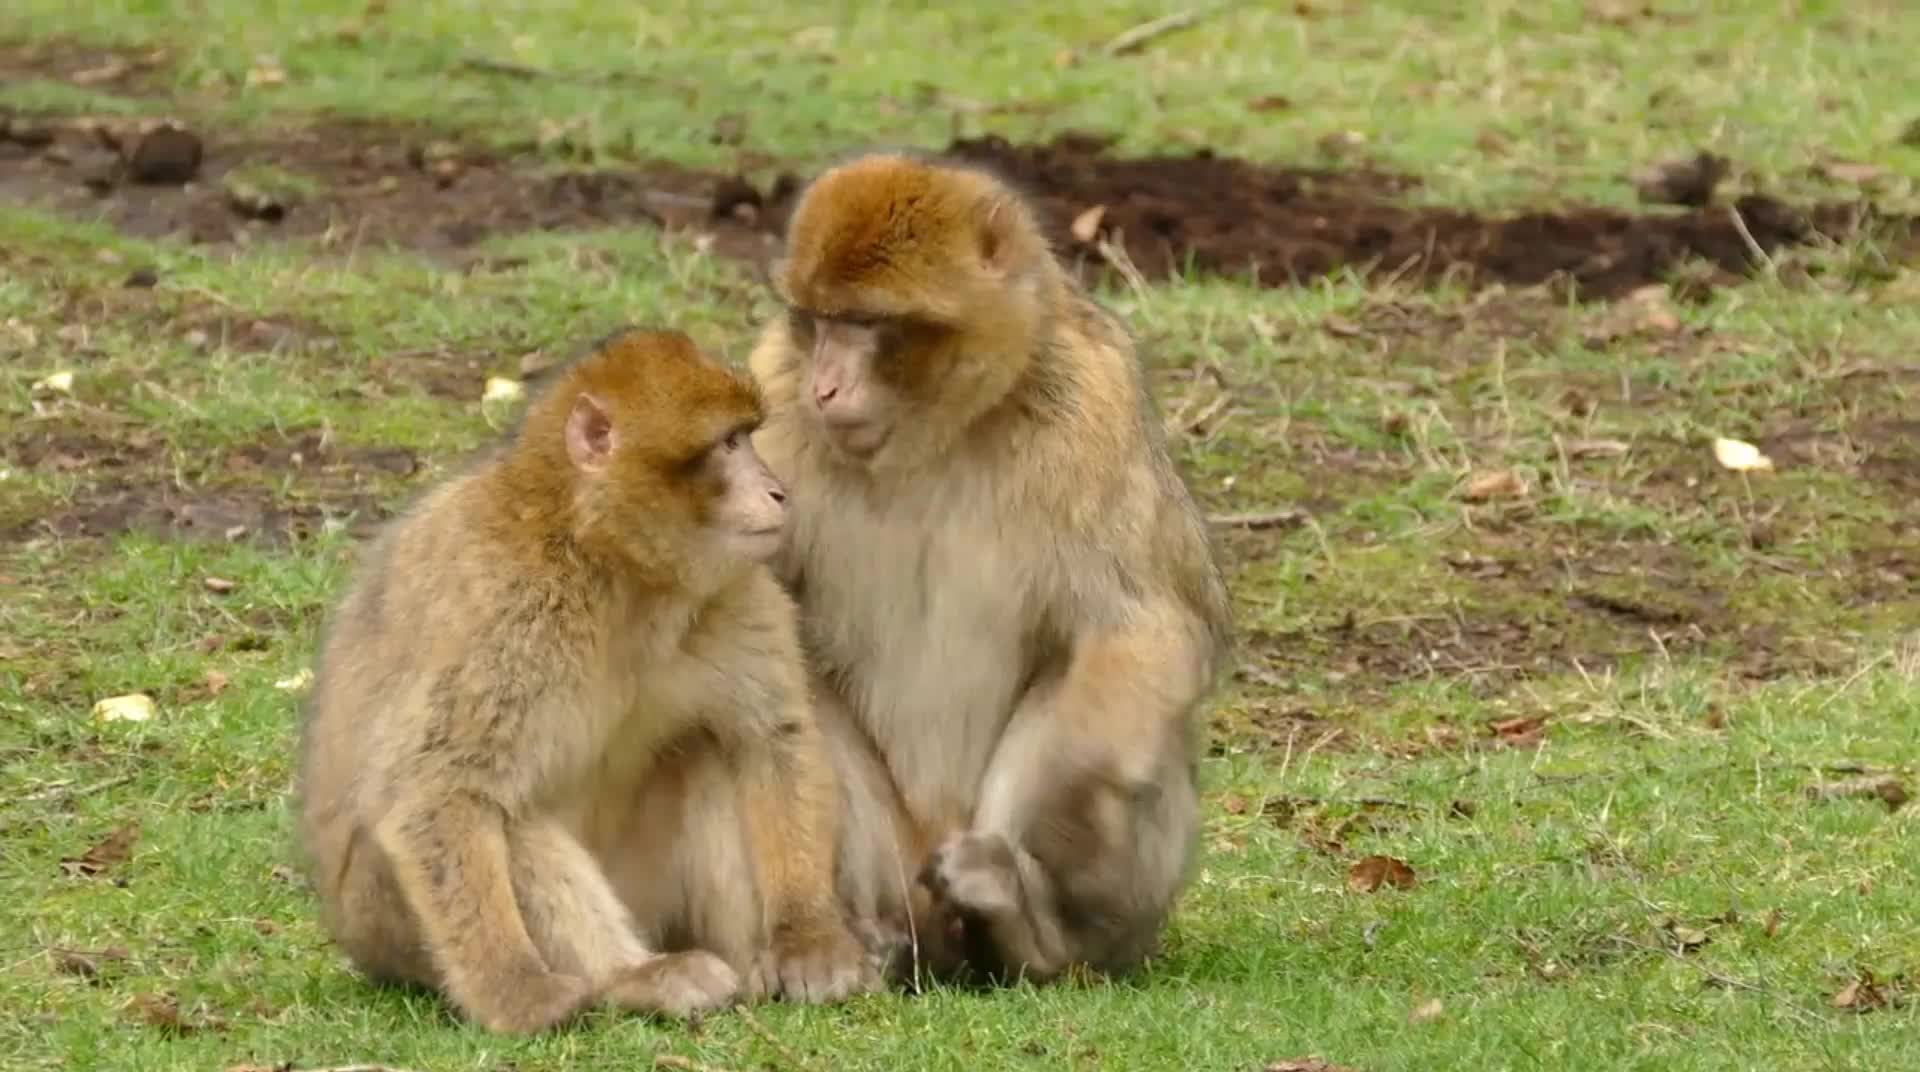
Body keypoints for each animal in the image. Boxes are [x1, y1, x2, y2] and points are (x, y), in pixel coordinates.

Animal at [294, 327, 878, 1035]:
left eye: (748, 436)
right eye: (728, 444)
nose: (777, 491)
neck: (607, 564)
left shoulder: (735, 590)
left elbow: (770, 735)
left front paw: (807, 939)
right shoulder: (502, 608)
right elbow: (437, 793)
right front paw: (515, 991)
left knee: (711, 753)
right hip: (391, 923)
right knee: (507, 815)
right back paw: (636, 978)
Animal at [745, 153, 1233, 986]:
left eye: (868, 324)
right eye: (817, 318)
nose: (826, 386)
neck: (936, 435)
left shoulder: (1093, 405)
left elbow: (1143, 626)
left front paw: (1074, 821)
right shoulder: (774, 396)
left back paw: (1031, 933)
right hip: (892, 863)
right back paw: (867, 940)